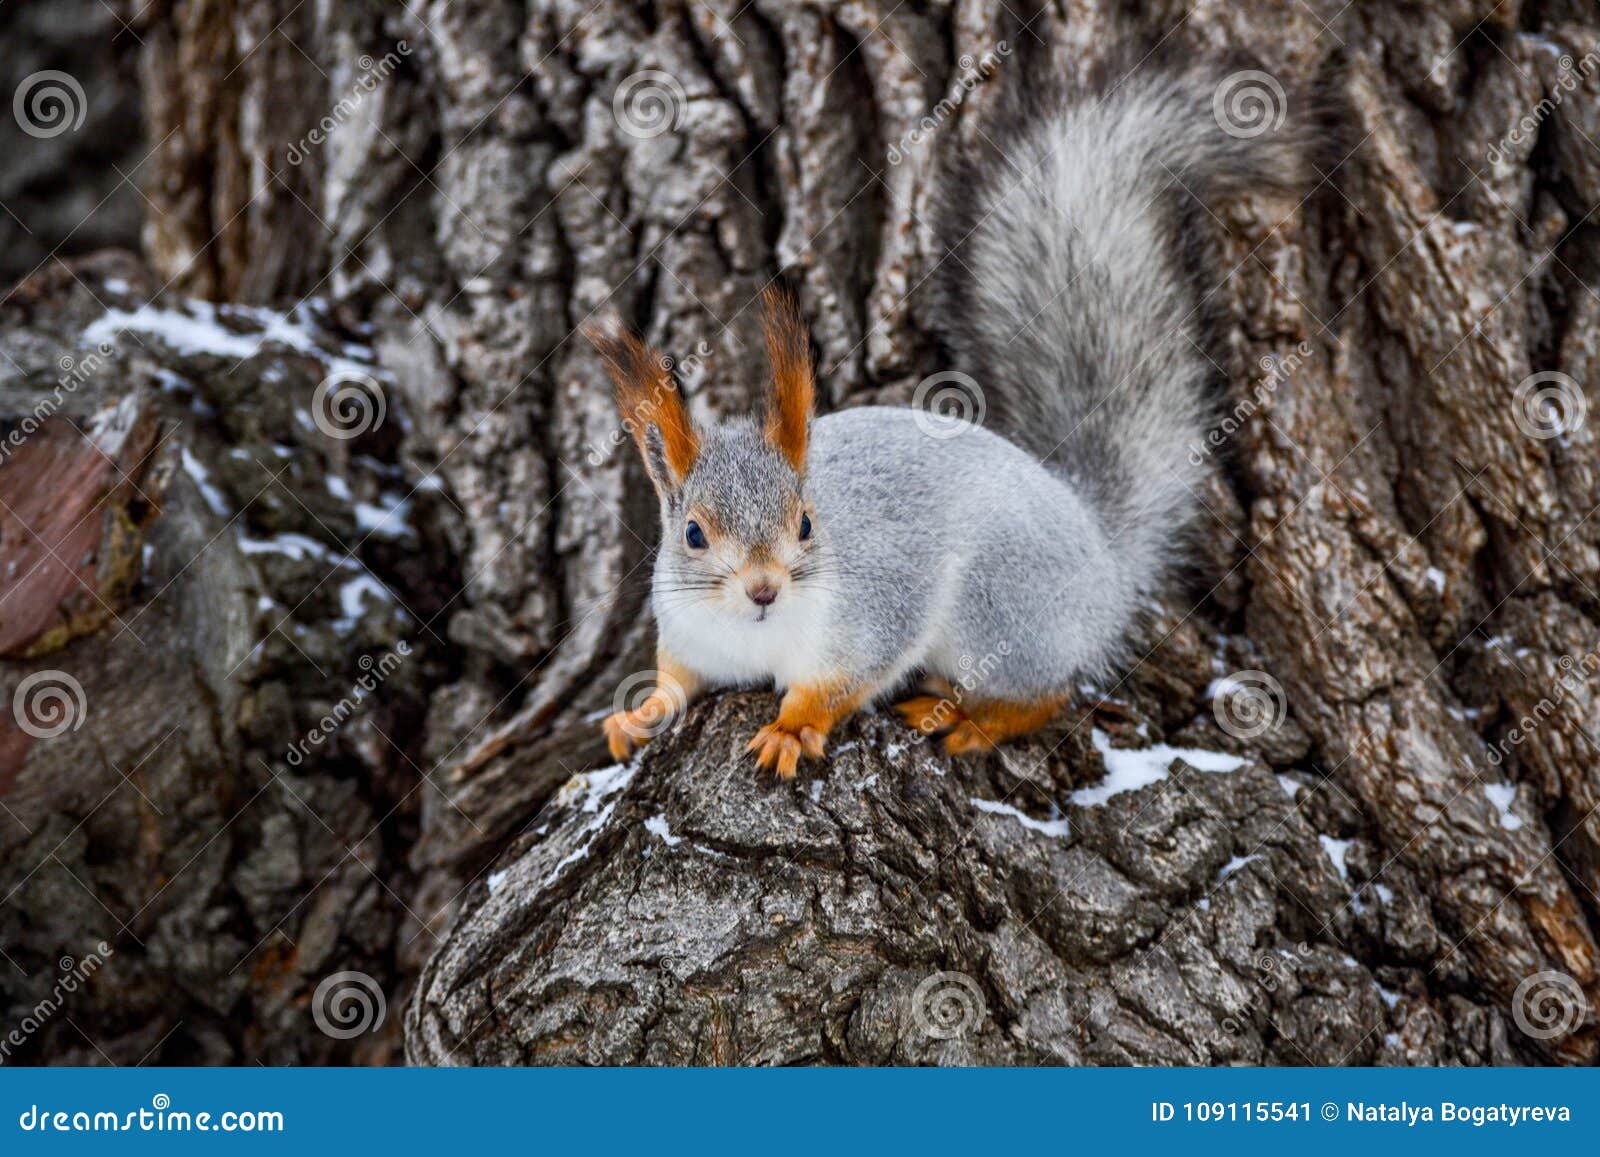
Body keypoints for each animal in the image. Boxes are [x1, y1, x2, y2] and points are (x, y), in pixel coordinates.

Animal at [588, 49, 1323, 779]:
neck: (755, 636)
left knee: (1046, 693)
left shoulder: (874, 615)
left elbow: (838, 683)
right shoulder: (687, 633)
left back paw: (968, 720)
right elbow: (673, 682)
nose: (764, 589)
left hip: (998, 613)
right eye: (692, 534)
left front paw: (792, 728)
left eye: (805, 523)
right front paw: (637, 715)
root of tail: (1101, 552)